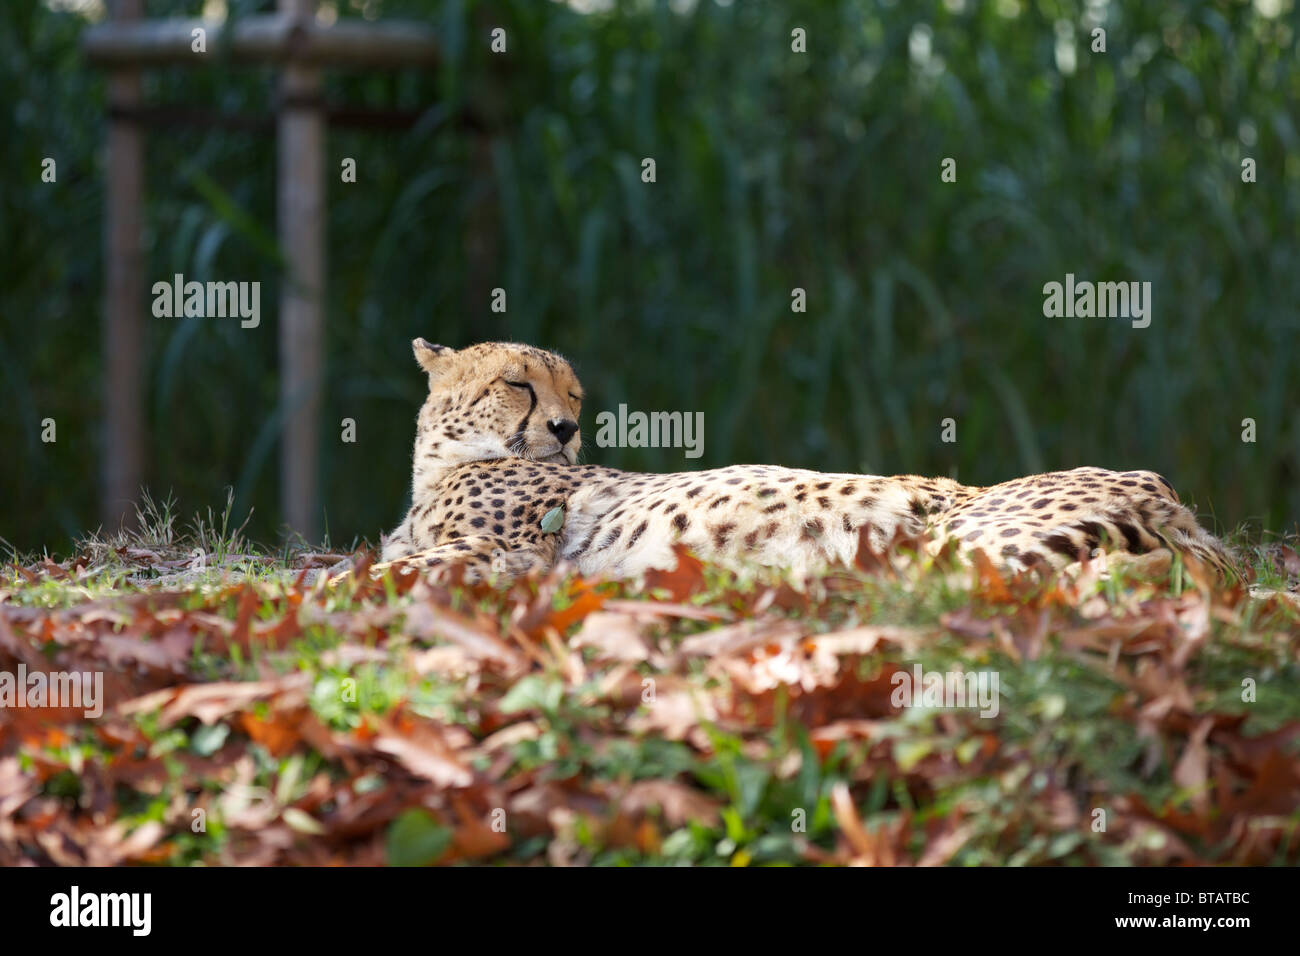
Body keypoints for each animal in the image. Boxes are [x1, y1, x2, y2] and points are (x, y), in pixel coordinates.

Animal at [380, 339, 1234, 583]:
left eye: (574, 395)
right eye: (518, 383)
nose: (563, 429)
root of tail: (1169, 495)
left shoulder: (507, 551)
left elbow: (370, 571)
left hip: (970, 547)